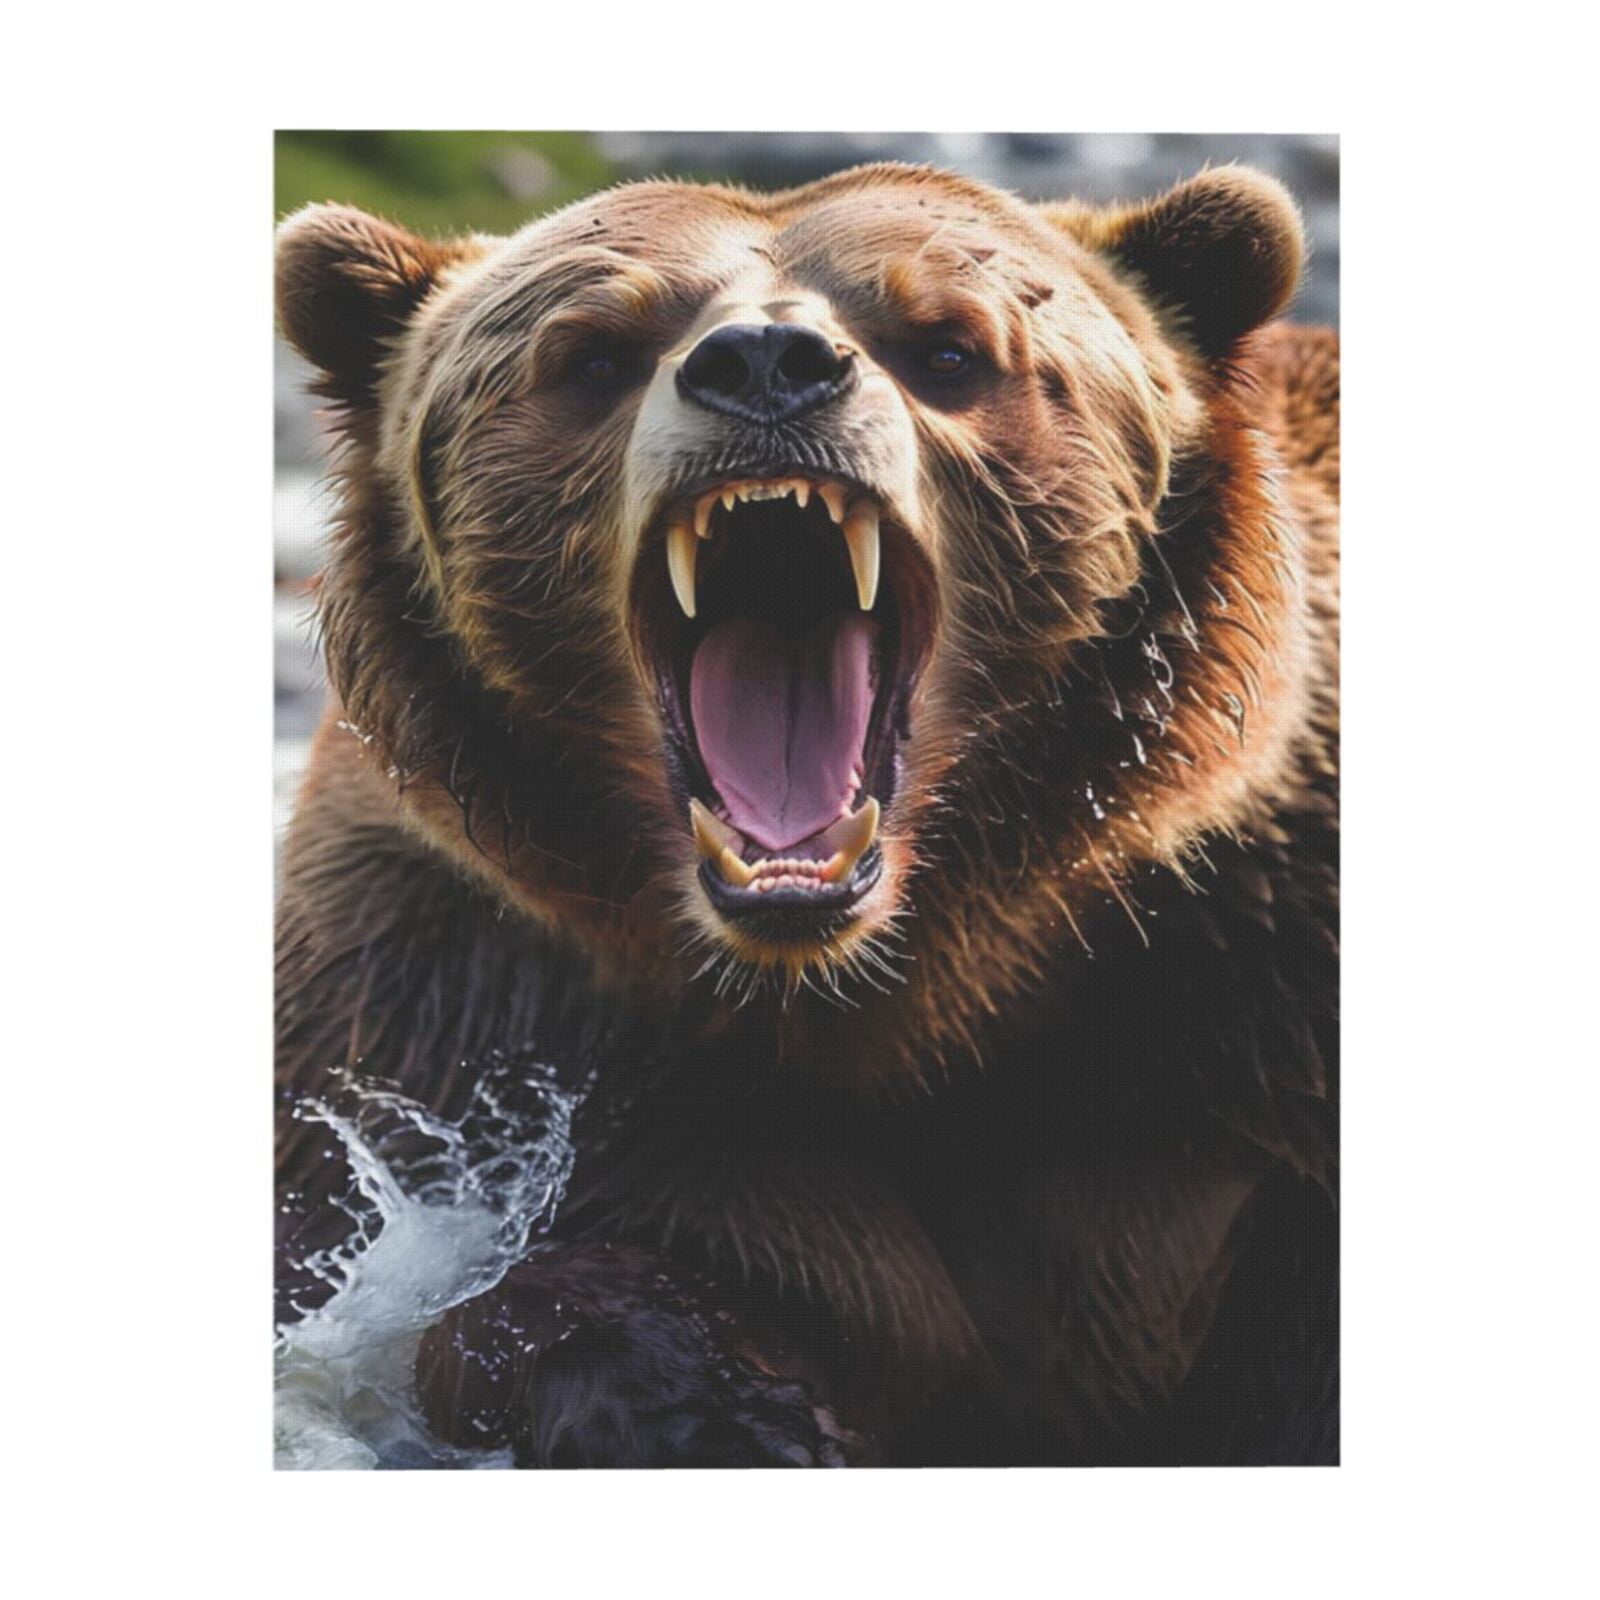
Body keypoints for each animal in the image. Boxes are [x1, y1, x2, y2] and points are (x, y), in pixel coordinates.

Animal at [275, 160, 1338, 1467]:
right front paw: (713, 1403)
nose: (765, 365)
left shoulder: (1242, 996)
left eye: (948, 347)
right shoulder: (460, 989)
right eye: (593, 353)